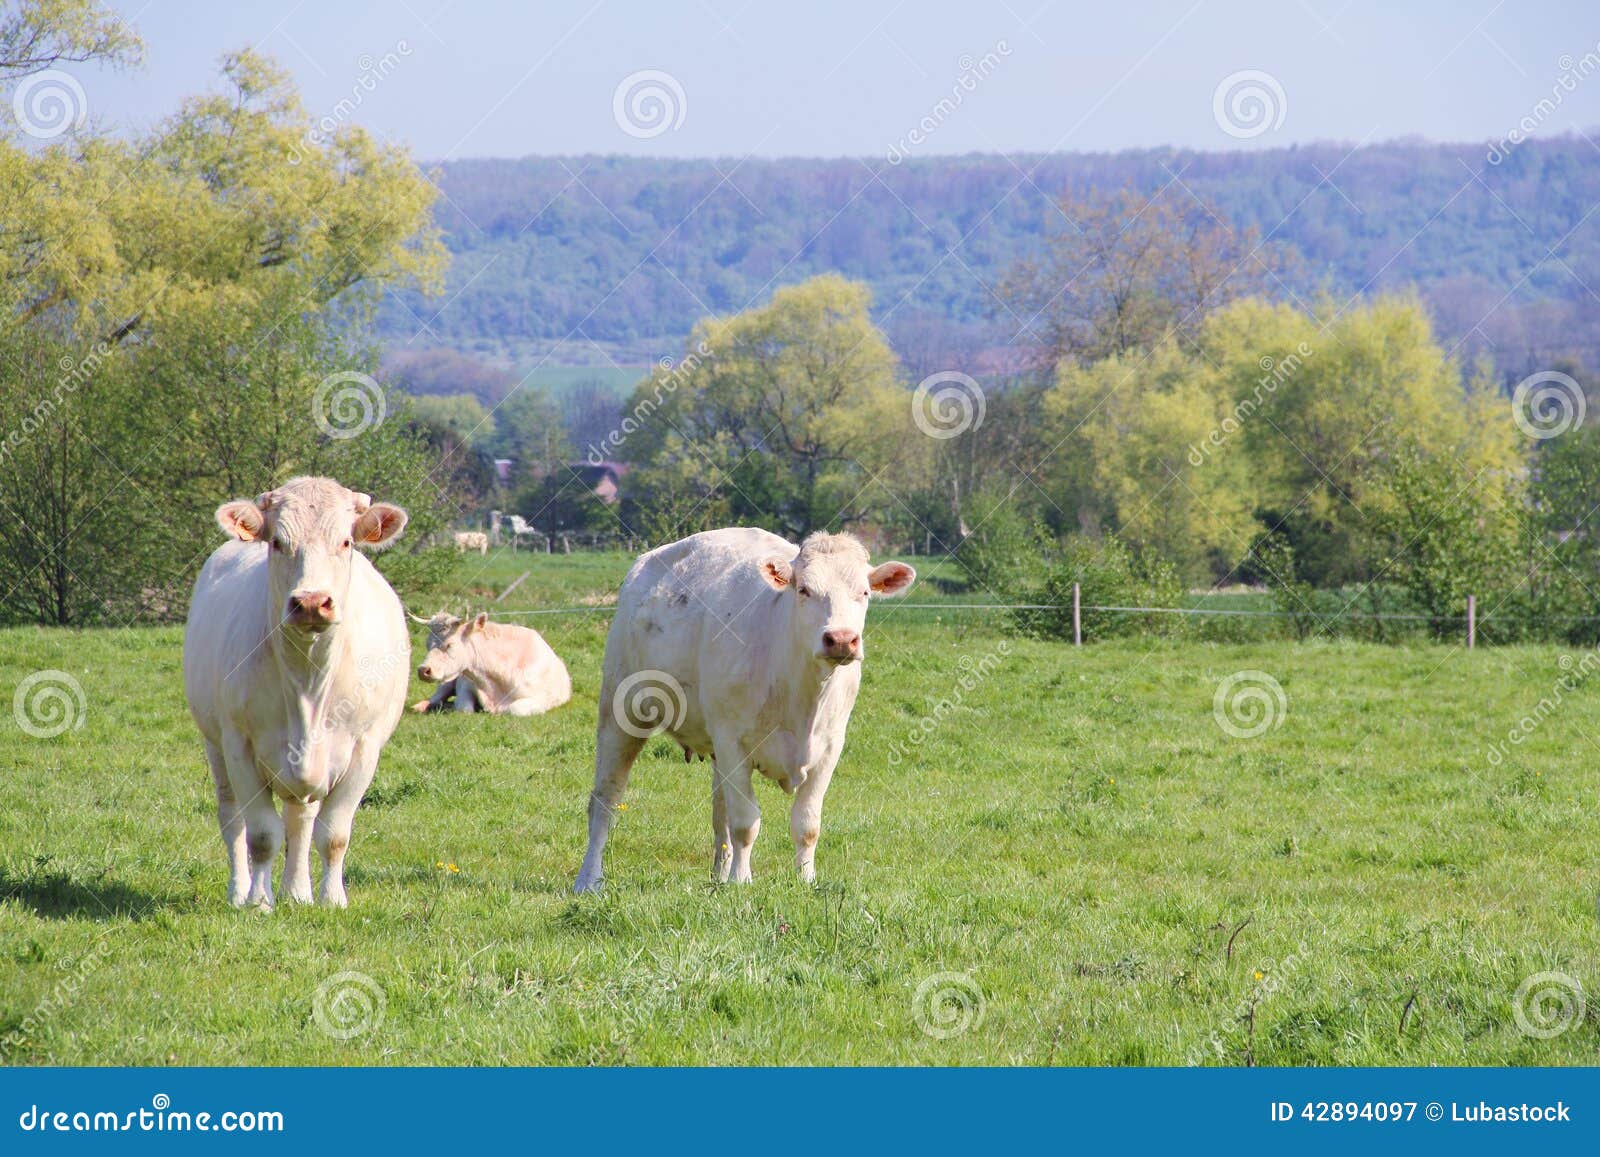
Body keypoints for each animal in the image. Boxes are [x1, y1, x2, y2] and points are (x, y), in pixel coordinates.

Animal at [182, 476, 410, 909]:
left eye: (346, 542)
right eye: (277, 542)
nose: (311, 602)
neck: (307, 681)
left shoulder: (364, 748)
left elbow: (333, 834)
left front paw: (332, 900)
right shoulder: (239, 745)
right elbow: (261, 835)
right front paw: (258, 902)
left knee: (300, 820)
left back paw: (297, 891)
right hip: (213, 744)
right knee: (233, 819)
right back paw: (241, 891)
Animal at [411, 611, 572, 716]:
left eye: (449, 644)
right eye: (427, 645)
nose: (423, 670)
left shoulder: (541, 699)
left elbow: (513, 709)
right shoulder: (464, 685)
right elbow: (464, 708)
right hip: (448, 682)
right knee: (435, 698)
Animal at [573, 528, 914, 892]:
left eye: (863, 592)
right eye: (804, 590)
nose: (840, 639)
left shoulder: (829, 747)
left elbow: (807, 824)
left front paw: (805, 879)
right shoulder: (733, 743)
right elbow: (745, 822)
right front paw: (741, 880)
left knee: (718, 812)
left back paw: (719, 876)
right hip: (620, 711)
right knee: (605, 800)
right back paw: (589, 879)